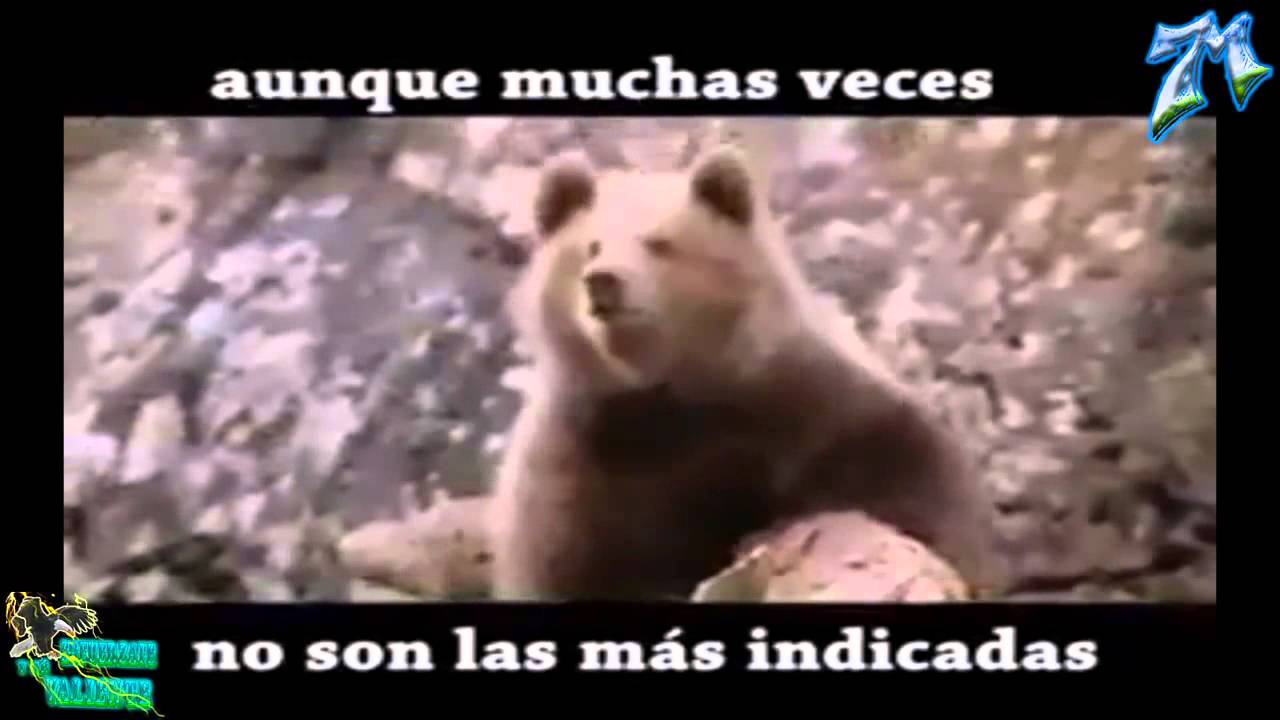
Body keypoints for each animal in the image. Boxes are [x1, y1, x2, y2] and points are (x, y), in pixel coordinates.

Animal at [489, 144, 1002, 601]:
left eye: (659, 243)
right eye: (590, 246)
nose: (603, 281)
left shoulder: (808, 410)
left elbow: (908, 484)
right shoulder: (584, 471)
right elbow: (570, 568)